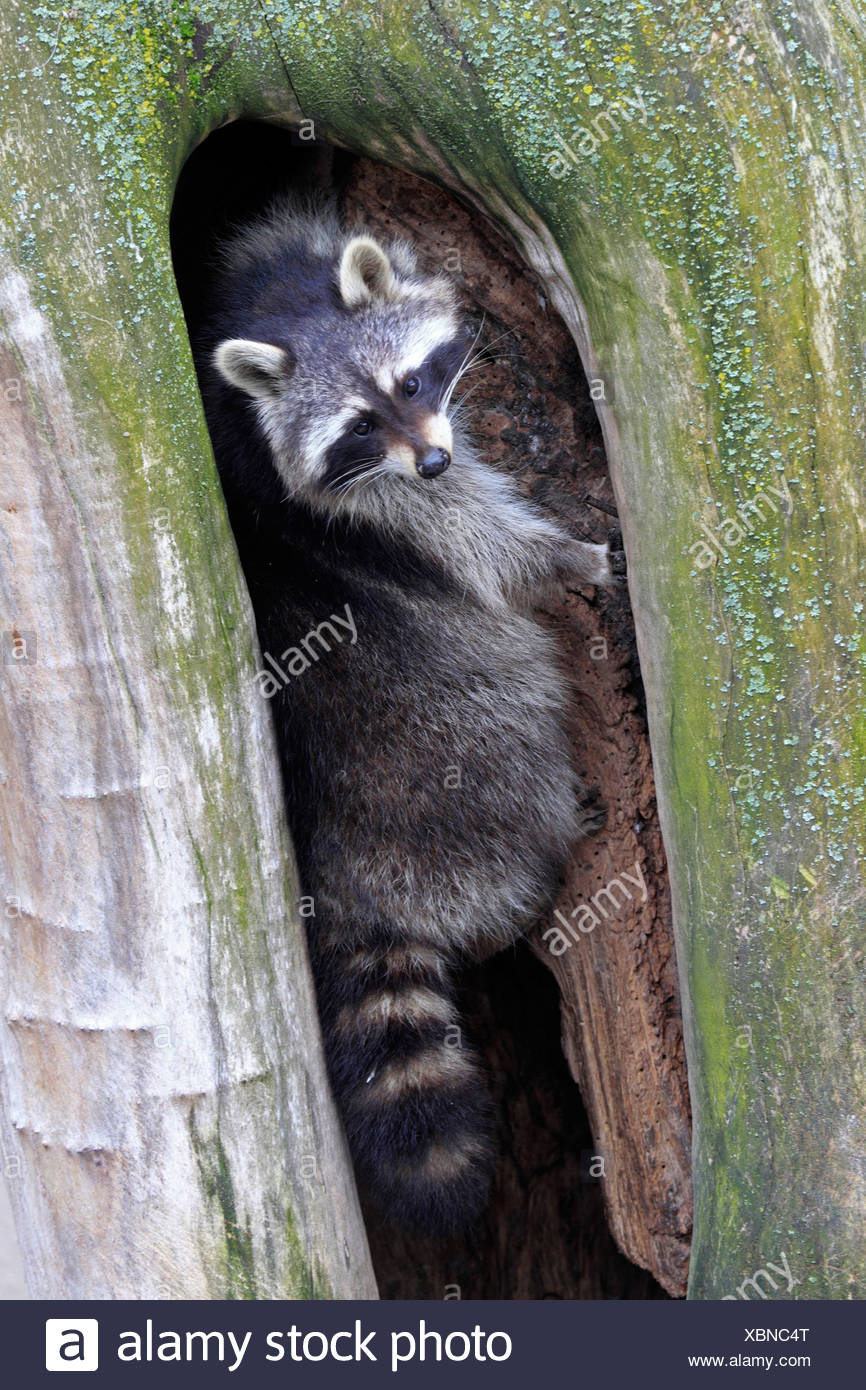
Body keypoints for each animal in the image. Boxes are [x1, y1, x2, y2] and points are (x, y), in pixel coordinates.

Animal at [193, 193, 623, 1234]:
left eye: (413, 378)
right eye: (358, 425)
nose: (430, 457)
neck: (285, 306)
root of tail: (351, 875)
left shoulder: (266, 252)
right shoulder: (376, 503)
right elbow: (484, 550)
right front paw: (579, 556)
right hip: (462, 744)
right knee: (504, 724)